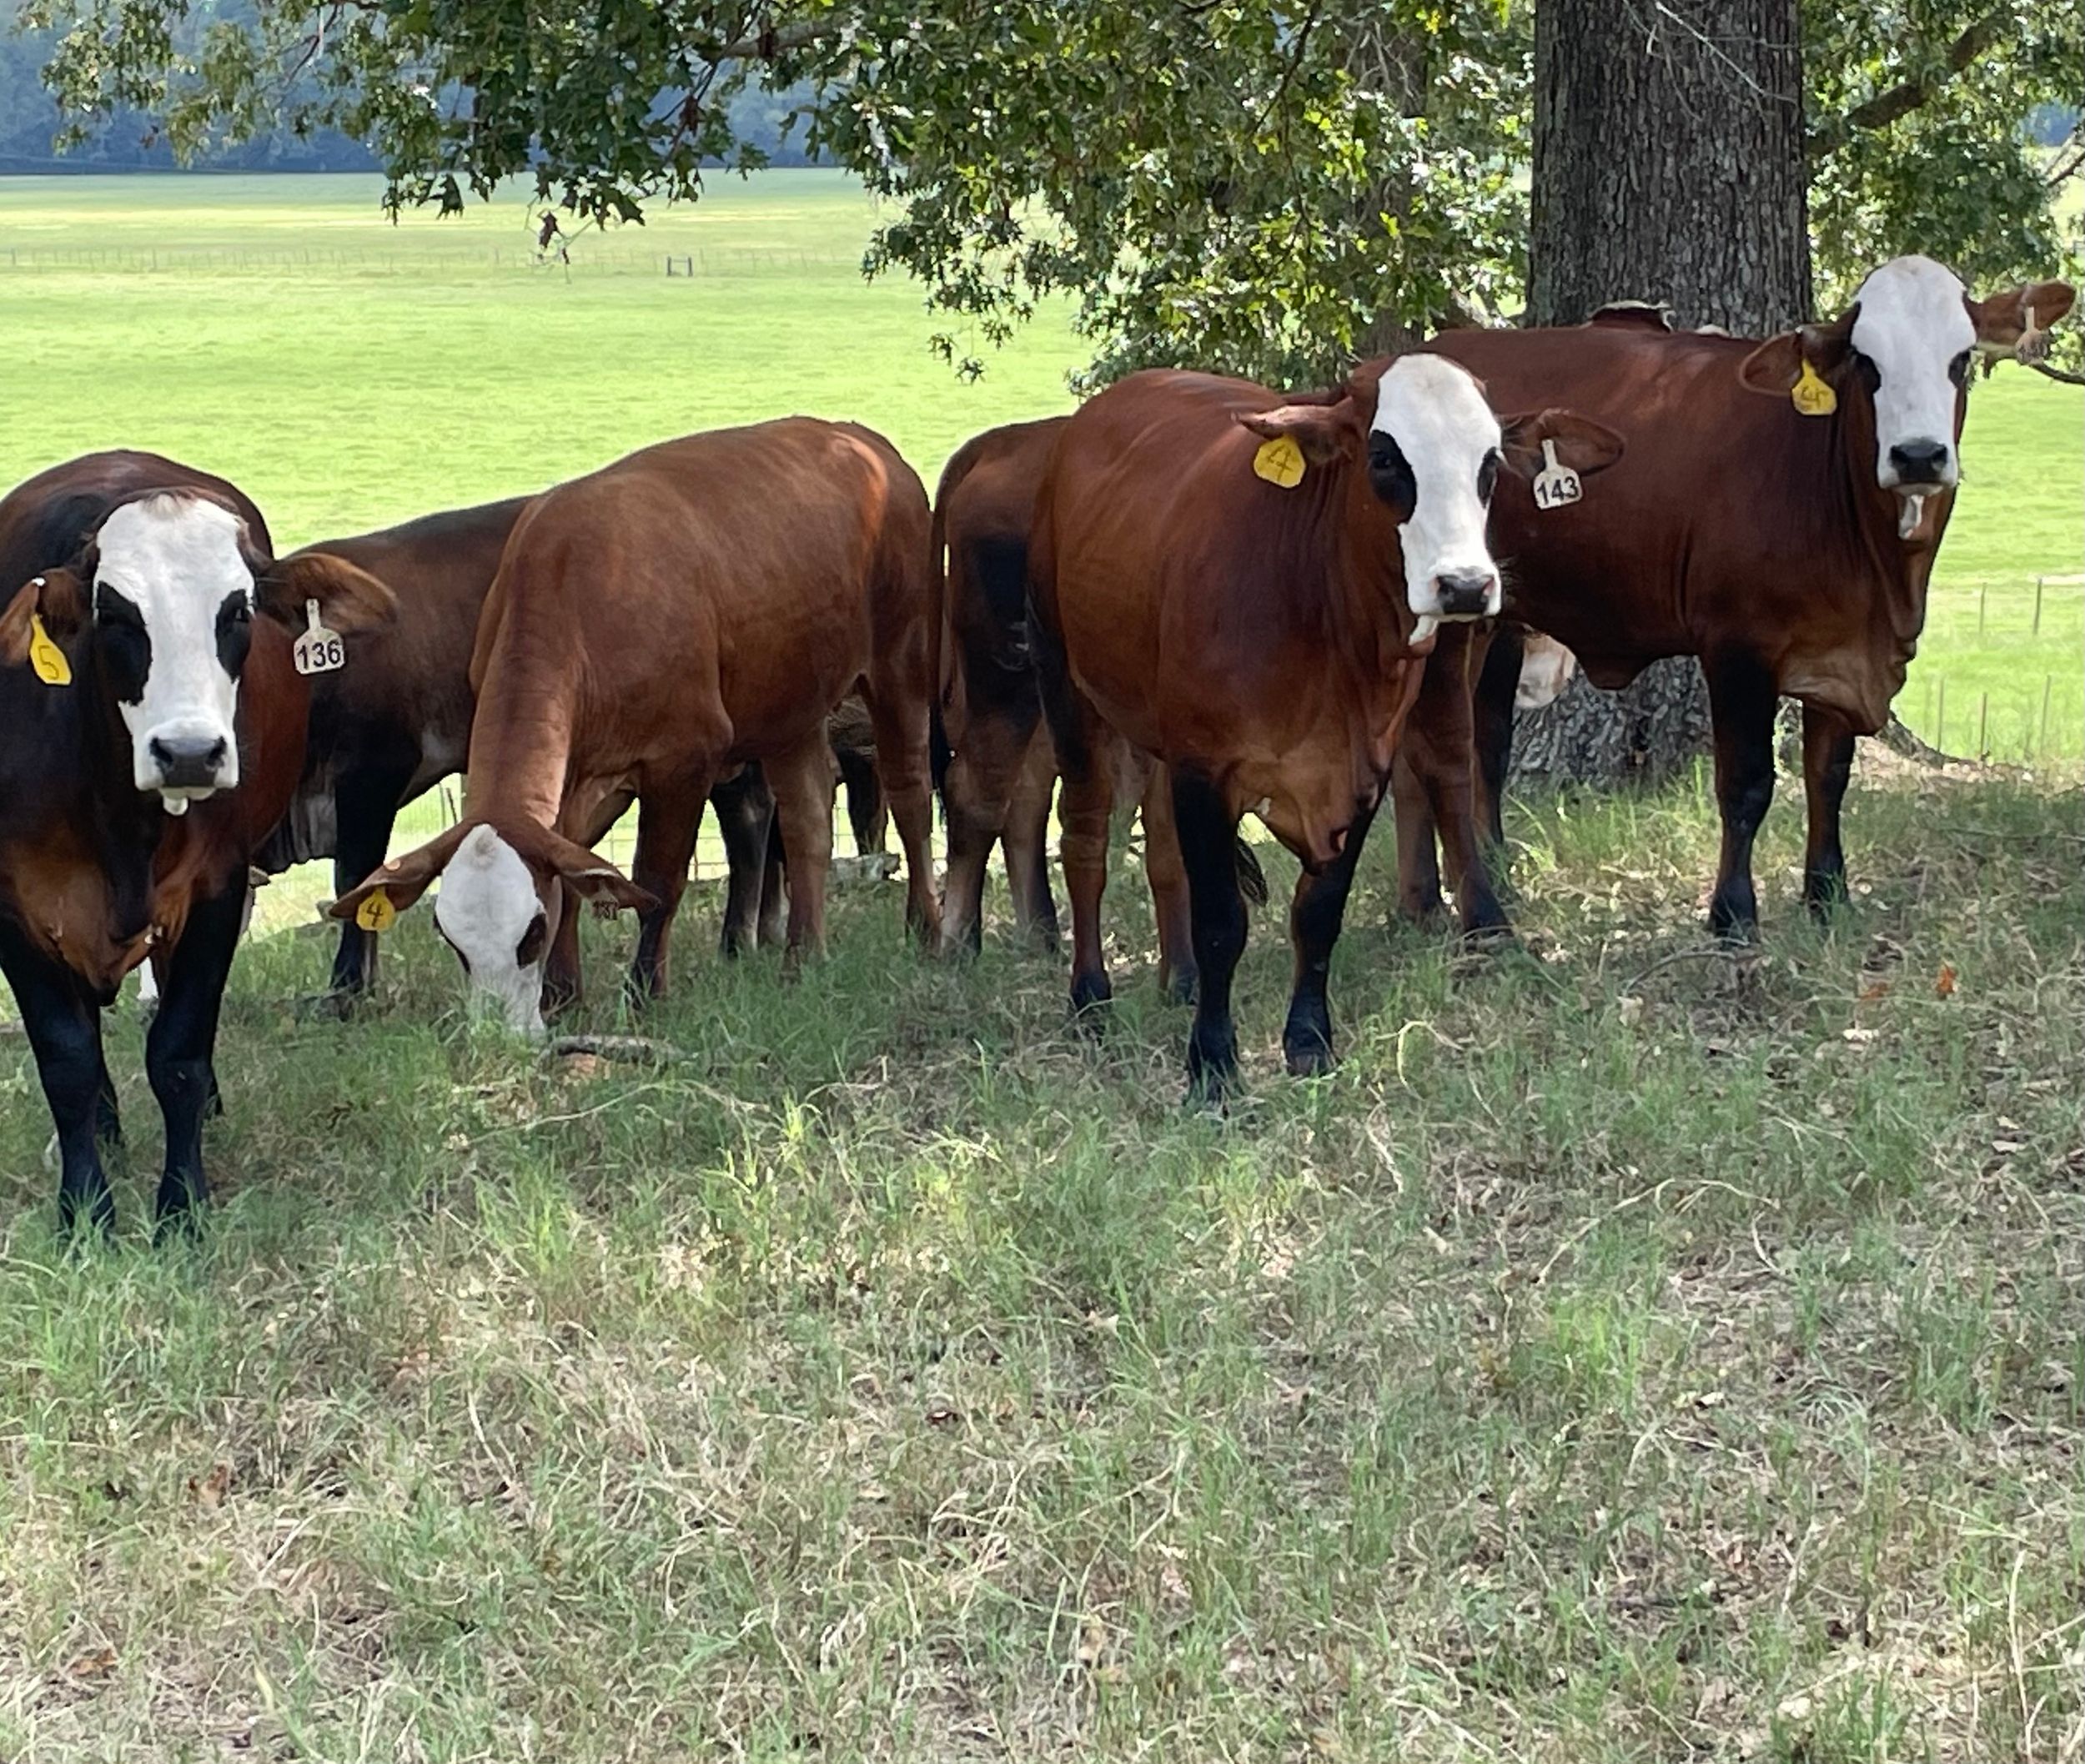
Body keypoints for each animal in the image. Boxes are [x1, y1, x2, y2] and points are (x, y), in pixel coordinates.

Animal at [0, 451, 392, 1233]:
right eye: (115, 613)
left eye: (237, 611)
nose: (188, 752)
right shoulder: (15, 906)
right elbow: (67, 1059)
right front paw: (85, 1208)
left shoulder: (217, 887)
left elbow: (178, 1052)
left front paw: (182, 1203)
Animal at [328, 418, 939, 1036]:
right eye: (451, 939)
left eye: (531, 932)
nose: (500, 1034)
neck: (579, 593)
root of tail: (863, 442)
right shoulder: (576, 777)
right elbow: (576, 876)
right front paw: (564, 993)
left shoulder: (684, 759)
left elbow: (656, 880)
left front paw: (645, 991)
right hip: (793, 707)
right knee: (807, 816)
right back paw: (802, 956)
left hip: (901, 662)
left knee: (909, 794)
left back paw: (928, 929)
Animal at [1027, 362, 1622, 1095]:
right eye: (1385, 457)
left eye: (1489, 464)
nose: (1464, 585)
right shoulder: (1208, 770)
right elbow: (1222, 920)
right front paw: (1213, 1065)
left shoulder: (1362, 770)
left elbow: (1319, 911)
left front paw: (1308, 1040)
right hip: (1065, 685)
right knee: (1084, 837)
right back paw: (1089, 997)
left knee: (1163, 847)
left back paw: (1182, 980)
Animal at [1423, 258, 2074, 936]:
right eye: (1866, 361)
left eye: (1961, 358)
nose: (1918, 455)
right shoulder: (1736, 646)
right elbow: (1747, 782)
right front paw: (1733, 913)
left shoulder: (1838, 653)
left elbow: (1827, 775)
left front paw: (1828, 895)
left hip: (1500, 621)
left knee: (1486, 743)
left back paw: (1489, 876)